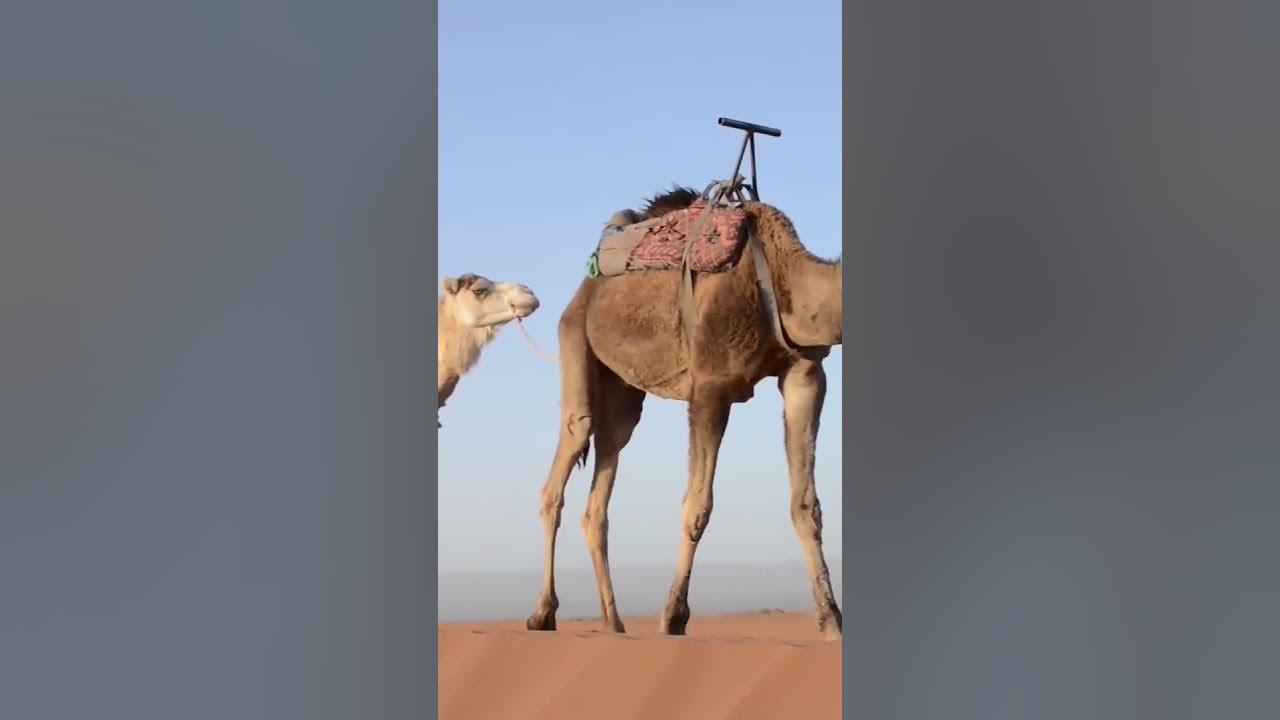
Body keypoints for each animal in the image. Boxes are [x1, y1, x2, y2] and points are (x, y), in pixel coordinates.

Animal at [527, 187, 843, 639]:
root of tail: (585, 287)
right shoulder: (710, 386)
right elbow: (697, 507)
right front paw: (673, 617)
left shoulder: (806, 374)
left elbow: (807, 505)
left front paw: (831, 620)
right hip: (574, 336)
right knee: (569, 448)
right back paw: (542, 614)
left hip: (624, 391)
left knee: (603, 478)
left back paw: (614, 623)